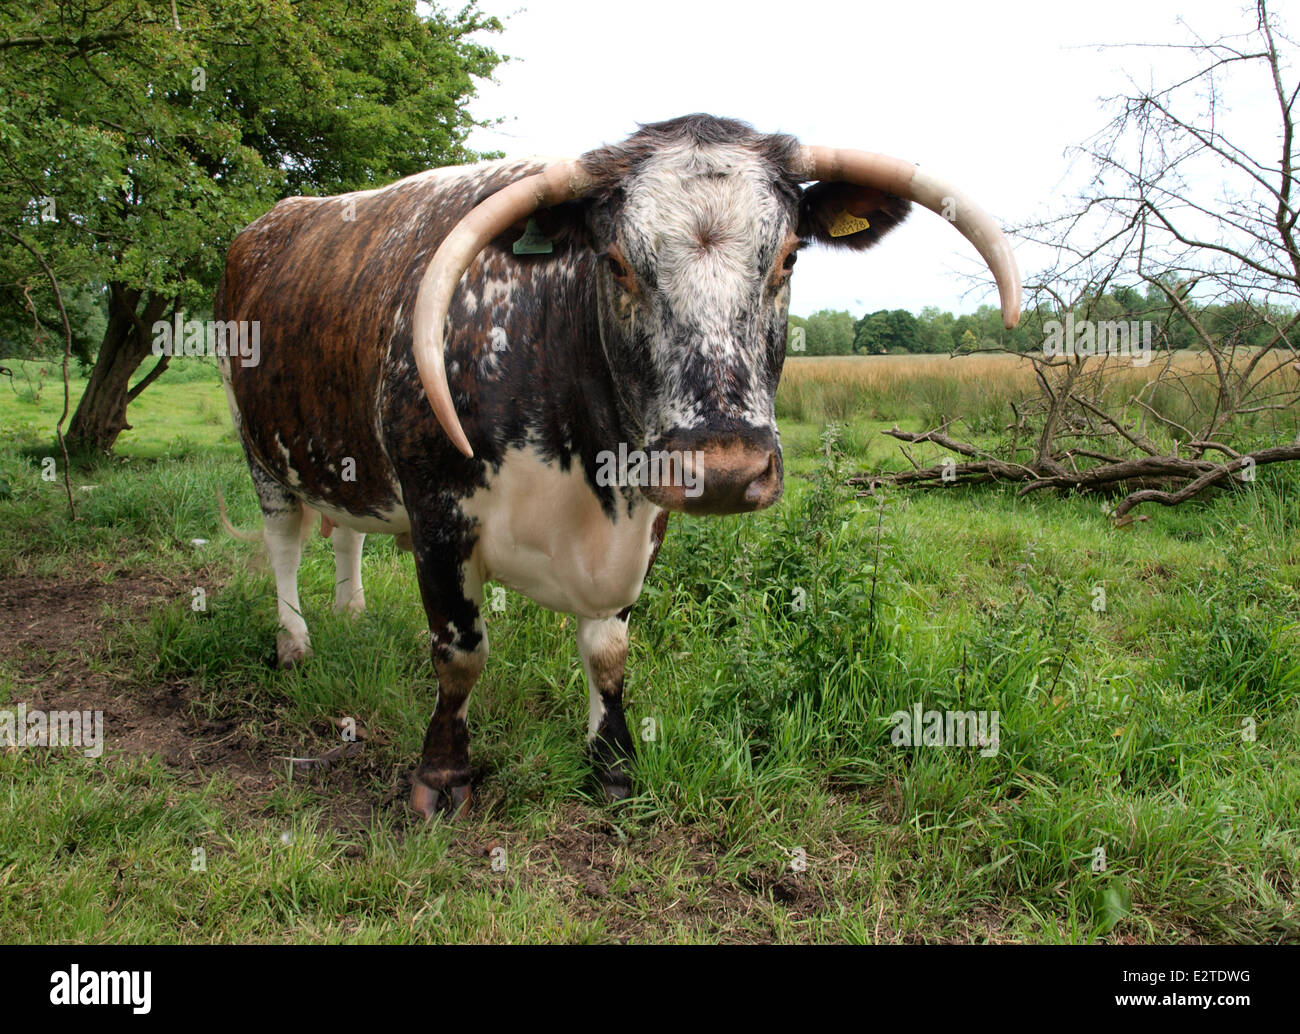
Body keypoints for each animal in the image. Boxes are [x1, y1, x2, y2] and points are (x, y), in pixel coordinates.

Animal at [215, 114, 1020, 819]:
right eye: (617, 263)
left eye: (788, 257)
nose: (724, 470)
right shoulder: (439, 514)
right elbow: (460, 655)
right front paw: (442, 778)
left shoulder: (643, 522)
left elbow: (608, 653)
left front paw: (613, 766)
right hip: (260, 452)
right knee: (283, 545)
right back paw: (296, 643)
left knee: (347, 530)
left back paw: (350, 611)